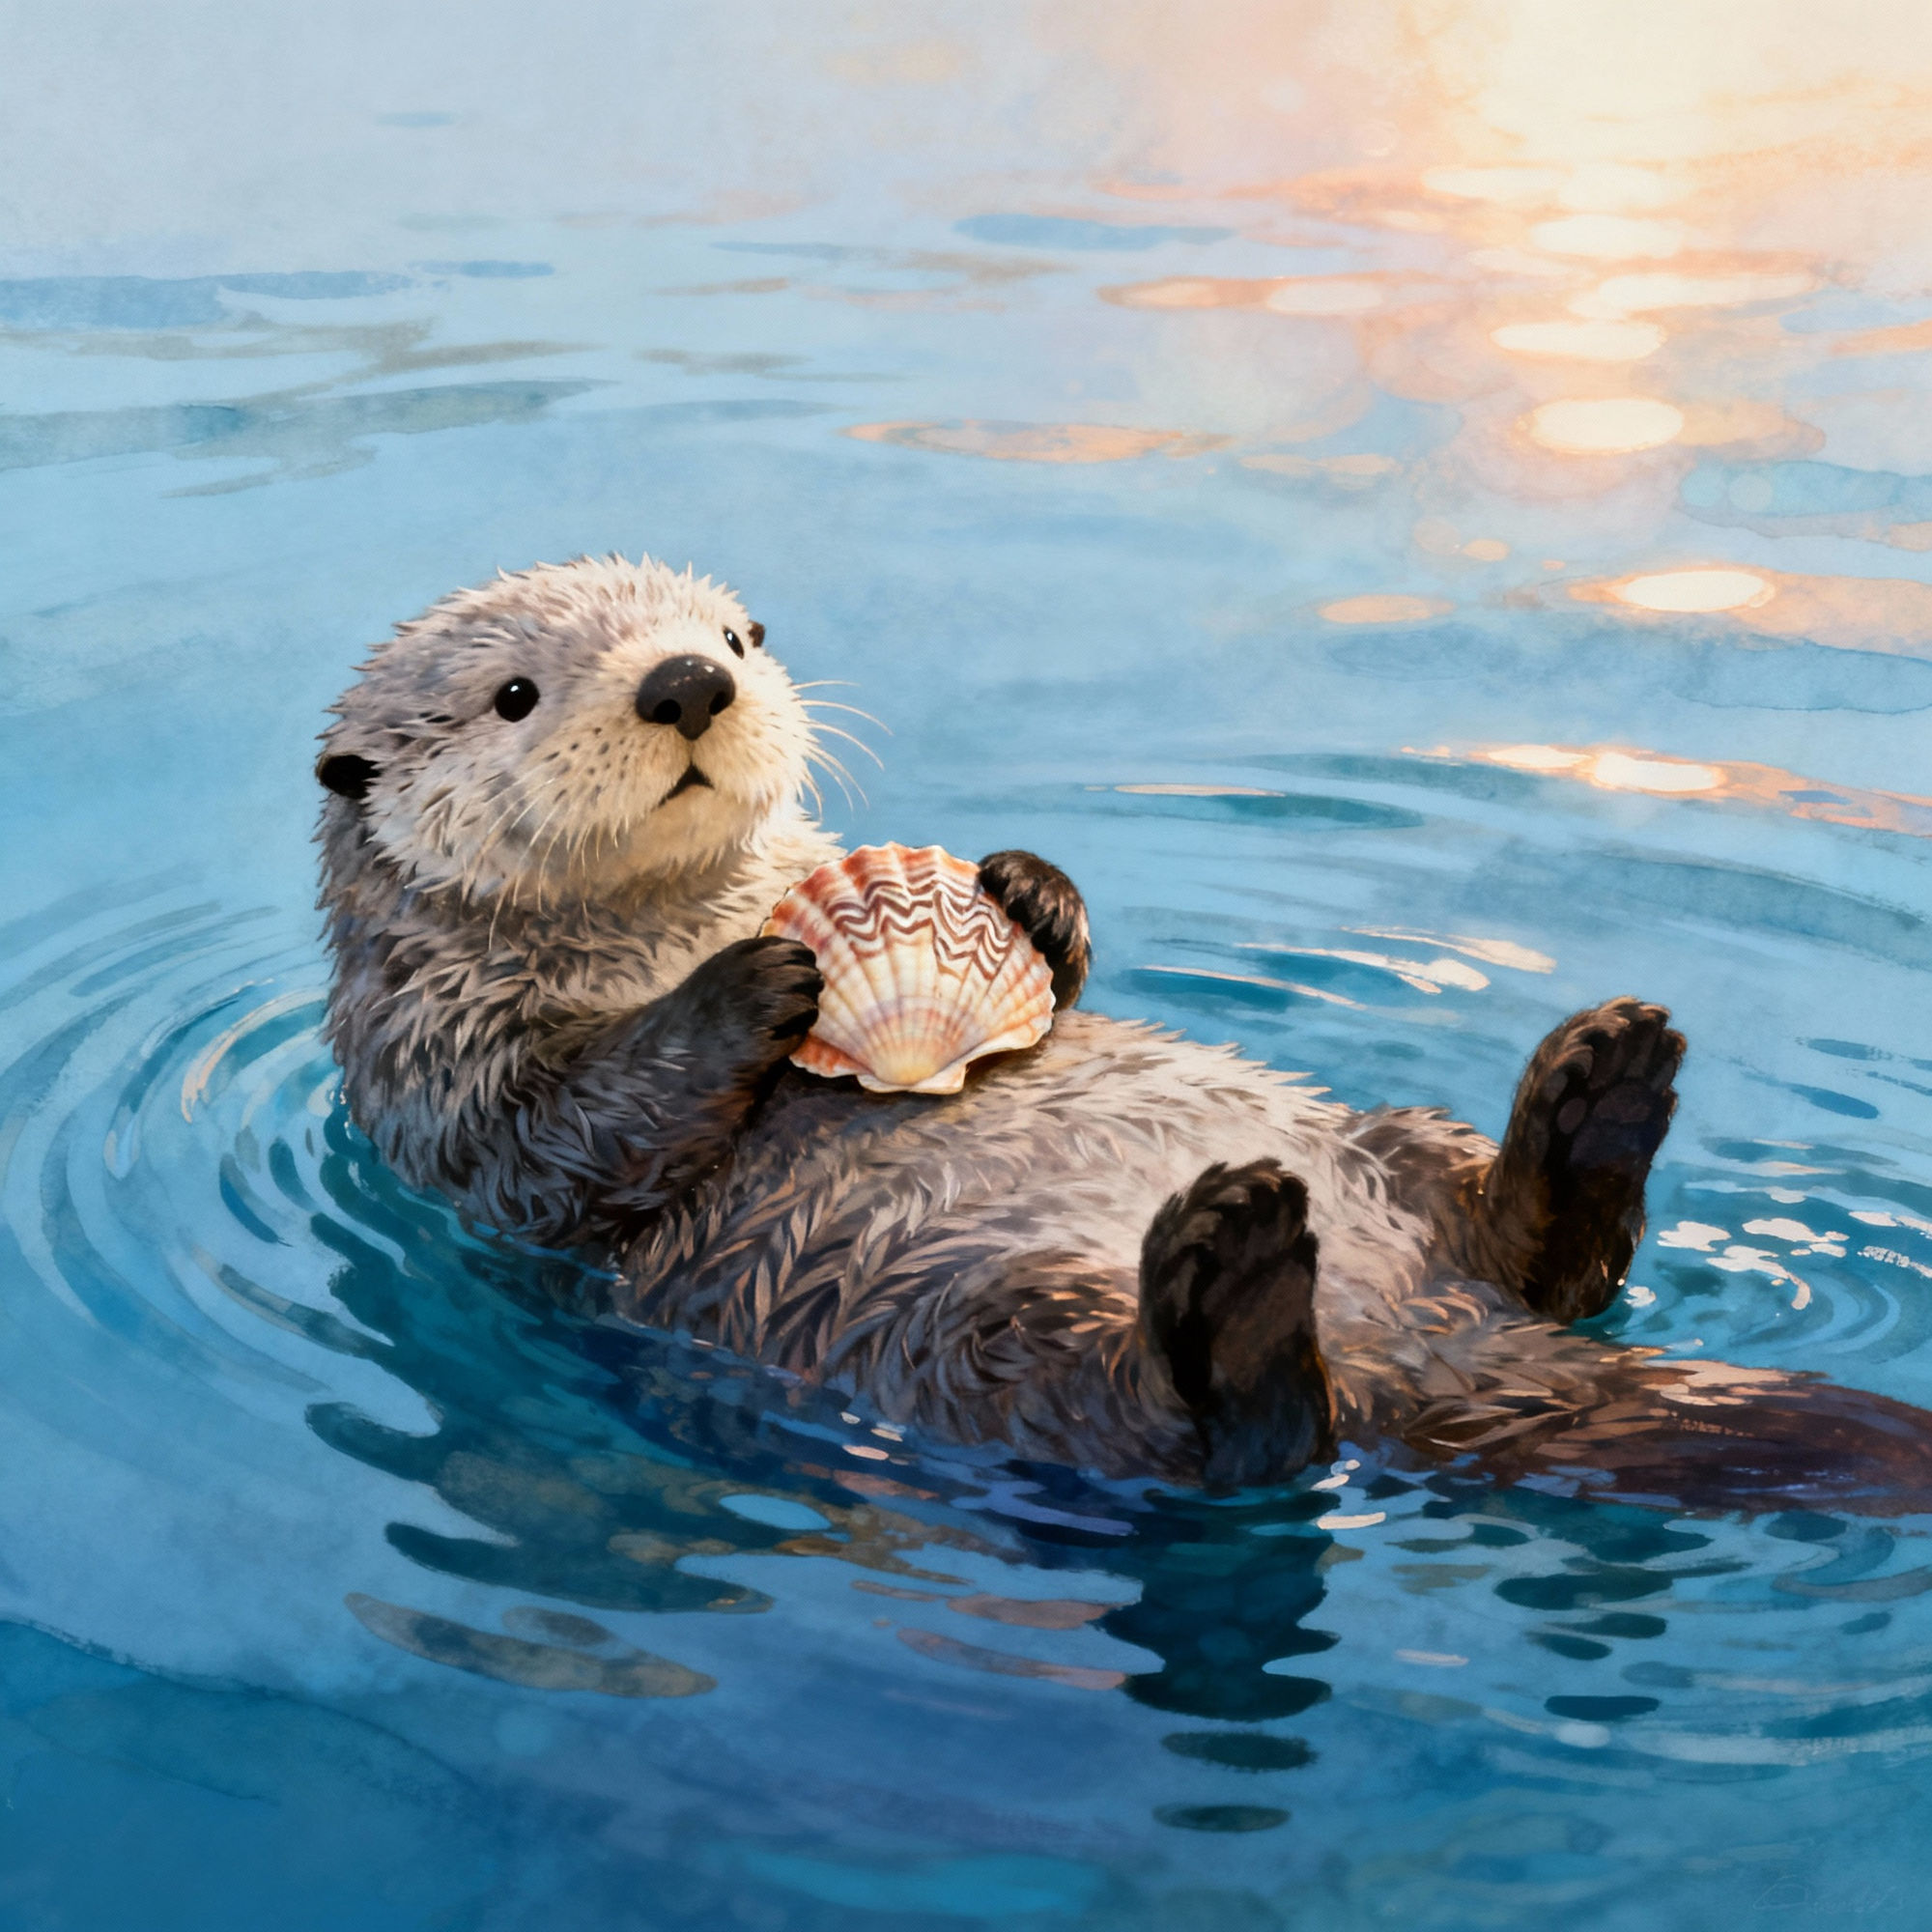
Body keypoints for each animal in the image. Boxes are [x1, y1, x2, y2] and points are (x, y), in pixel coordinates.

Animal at [315, 552, 1932, 1510]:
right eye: (514, 694)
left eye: (732, 633)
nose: (689, 682)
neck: (677, 919)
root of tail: (1424, 1340)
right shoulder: (442, 1084)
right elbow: (568, 1143)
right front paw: (752, 989)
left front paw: (1028, 897)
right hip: (987, 1333)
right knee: (1234, 1439)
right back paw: (1239, 1280)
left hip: (1397, 1148)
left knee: (1550, 1256)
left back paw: (1599, 1089)